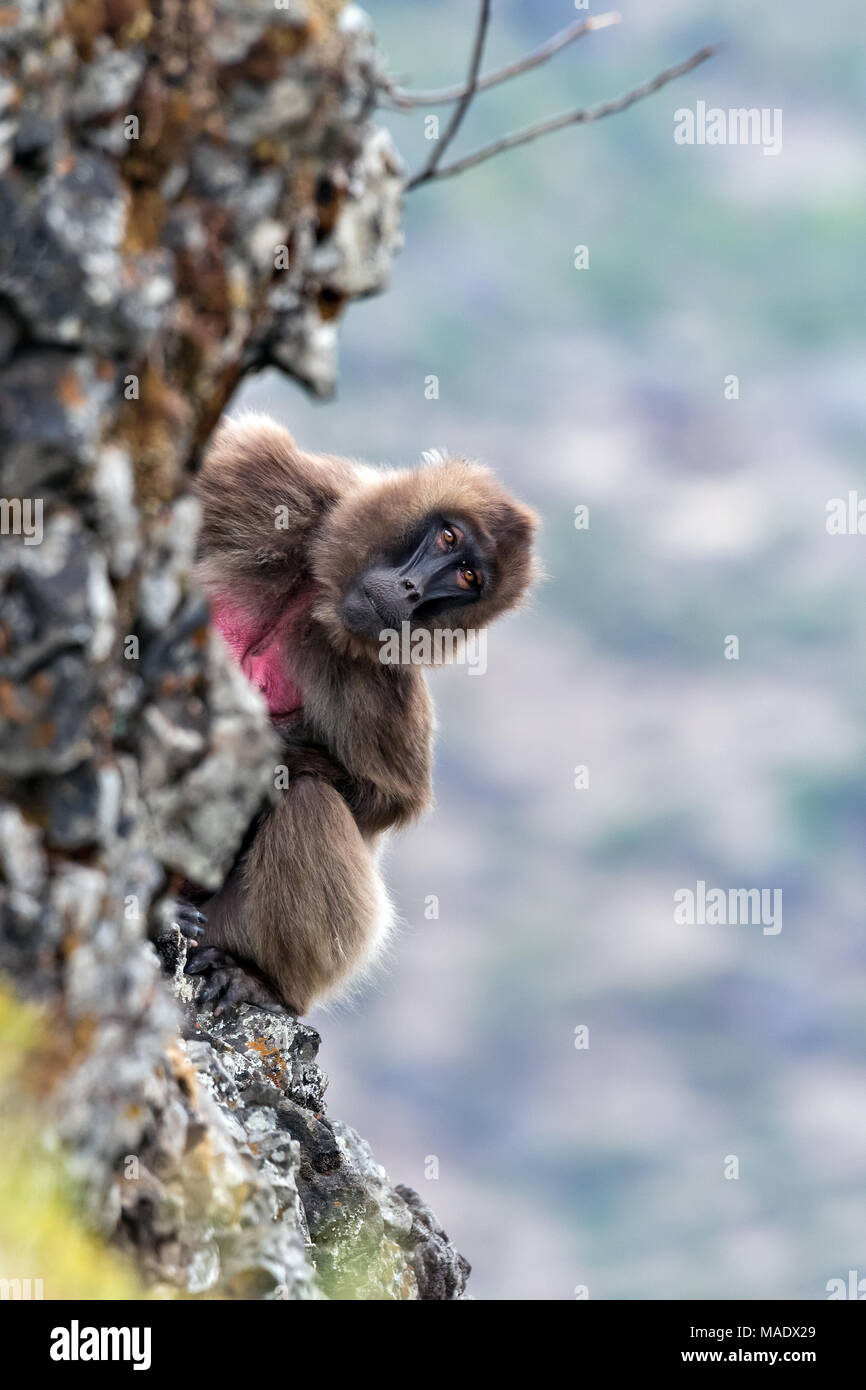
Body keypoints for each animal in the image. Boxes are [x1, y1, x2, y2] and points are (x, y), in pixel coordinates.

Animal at [181, 414, 538, 1016]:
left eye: (467, 578)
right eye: (449, 537)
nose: (412, 591)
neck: (316, 595)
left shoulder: (381, 682)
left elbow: (387, 799)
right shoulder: (260, 481)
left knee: (307, 800)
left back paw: (261, 980)